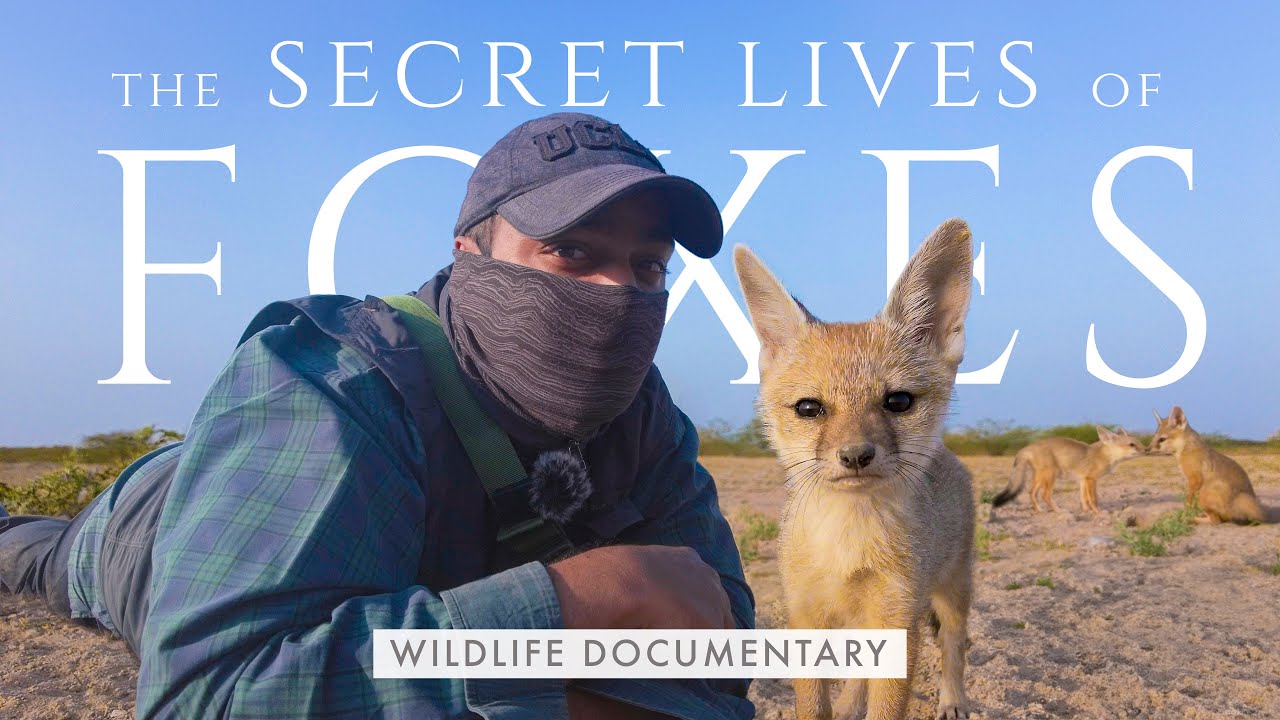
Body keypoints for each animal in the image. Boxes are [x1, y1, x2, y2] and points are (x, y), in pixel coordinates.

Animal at [734, 218, 977, 720]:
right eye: (809, 408)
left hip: (953, 592)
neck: (849, 542)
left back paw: (953, 699)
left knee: (954, 646)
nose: (855, 456)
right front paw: (840, 704)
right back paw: (849, 704)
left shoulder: (897, 617)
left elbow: (889, 703)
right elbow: (814, 705)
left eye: (898, 402)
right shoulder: (805, 617)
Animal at [991, 427, 1145, 514]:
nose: (1146, 449)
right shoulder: (1091, 479)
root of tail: (1027, 447)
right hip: (1050, 476)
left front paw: (1085, 511)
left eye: (1139, 443)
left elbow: (1083, 498)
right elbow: (1093, 499)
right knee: (1045, 495)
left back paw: (1040, 510)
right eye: (1132, 445)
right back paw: (1059, 511)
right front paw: (1098, 512)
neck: (1104, 455)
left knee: (1031, 492)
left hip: (1040, 477)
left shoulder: (1082, 480)